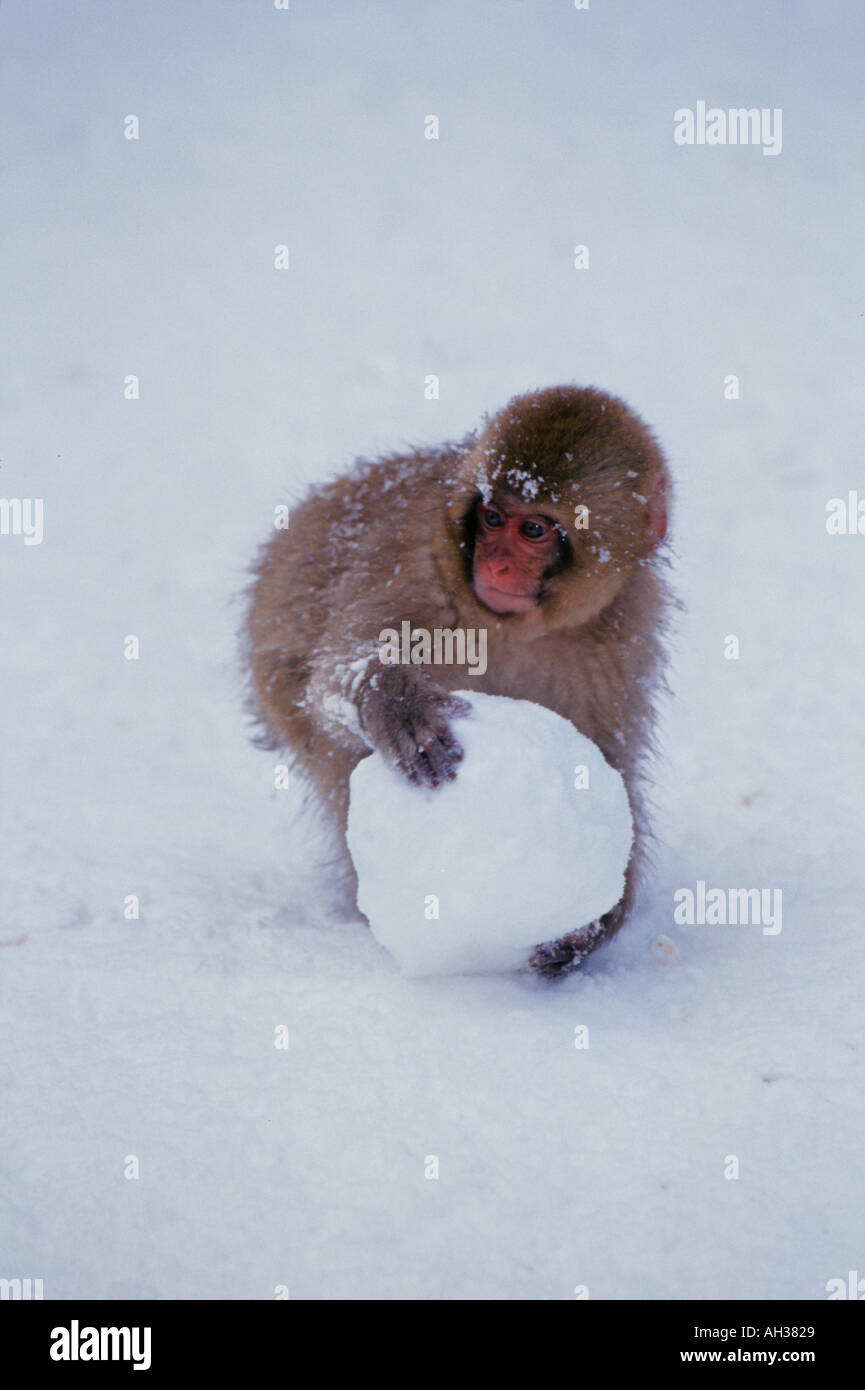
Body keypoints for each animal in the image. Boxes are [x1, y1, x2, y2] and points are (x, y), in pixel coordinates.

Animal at [243, 385, 672, 977]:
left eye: (533, 529)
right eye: (492, 518)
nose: (496, 566)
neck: (514, 627)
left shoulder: (621, 638)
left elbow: (613, 761)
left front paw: (591, 927)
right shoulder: (414, 565)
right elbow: (334, 674)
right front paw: (397, 706)